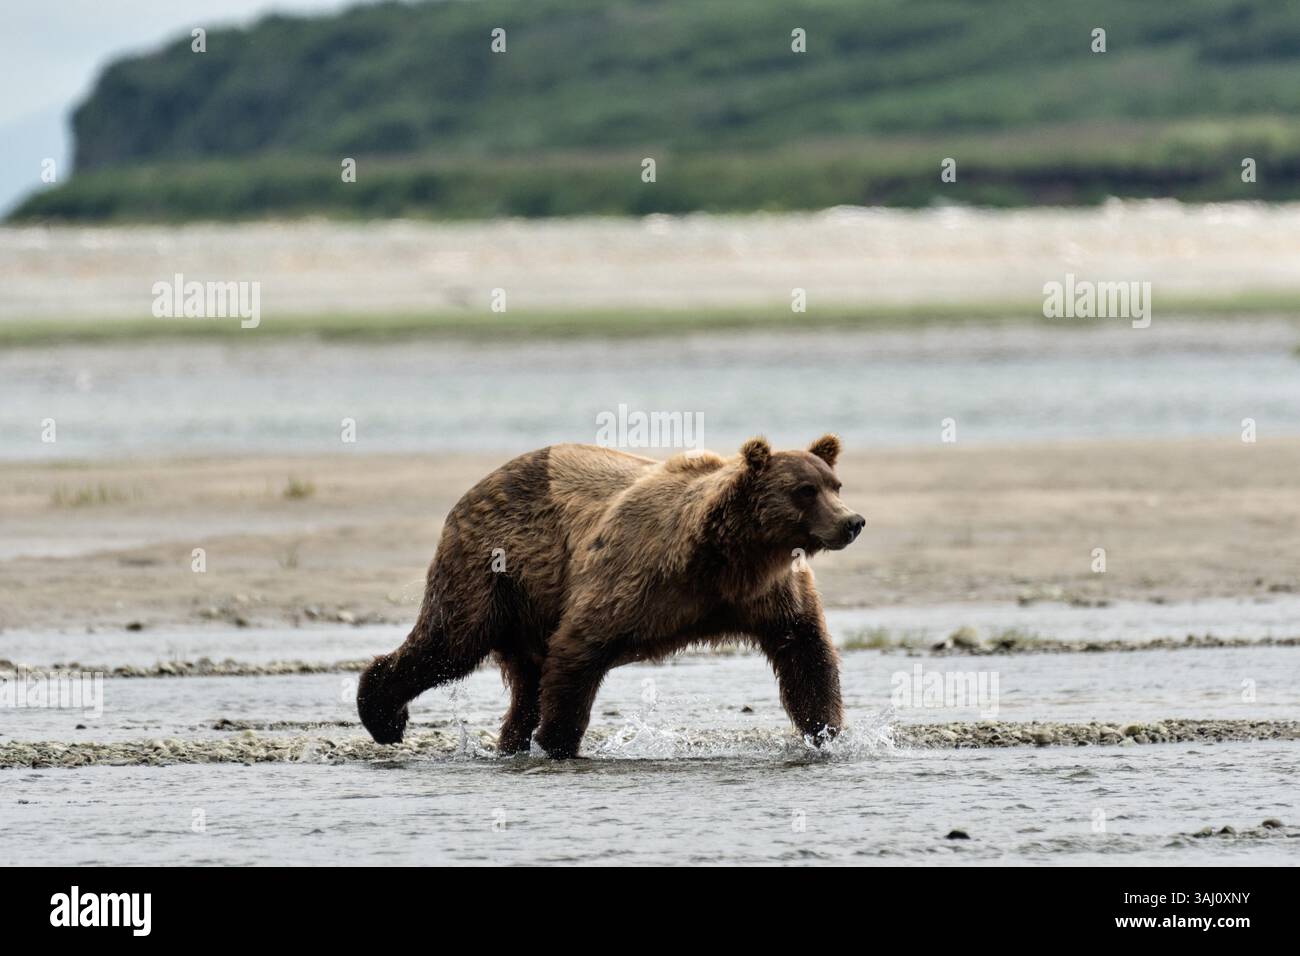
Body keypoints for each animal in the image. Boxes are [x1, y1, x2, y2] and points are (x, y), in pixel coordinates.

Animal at [357, 434, 864, 758]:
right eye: (805, 490)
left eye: (835, 484)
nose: (852, 521)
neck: (728, 556)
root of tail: (476, 487)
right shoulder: (637, 577)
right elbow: (579, 648)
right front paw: (558, 742)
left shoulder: (769, 594)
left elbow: (806, 654)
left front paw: (826, 734)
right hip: (490, 571)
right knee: (449, 643)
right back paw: (384, 716)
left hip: (527, 601)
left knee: (523, 680)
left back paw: (509, 744)